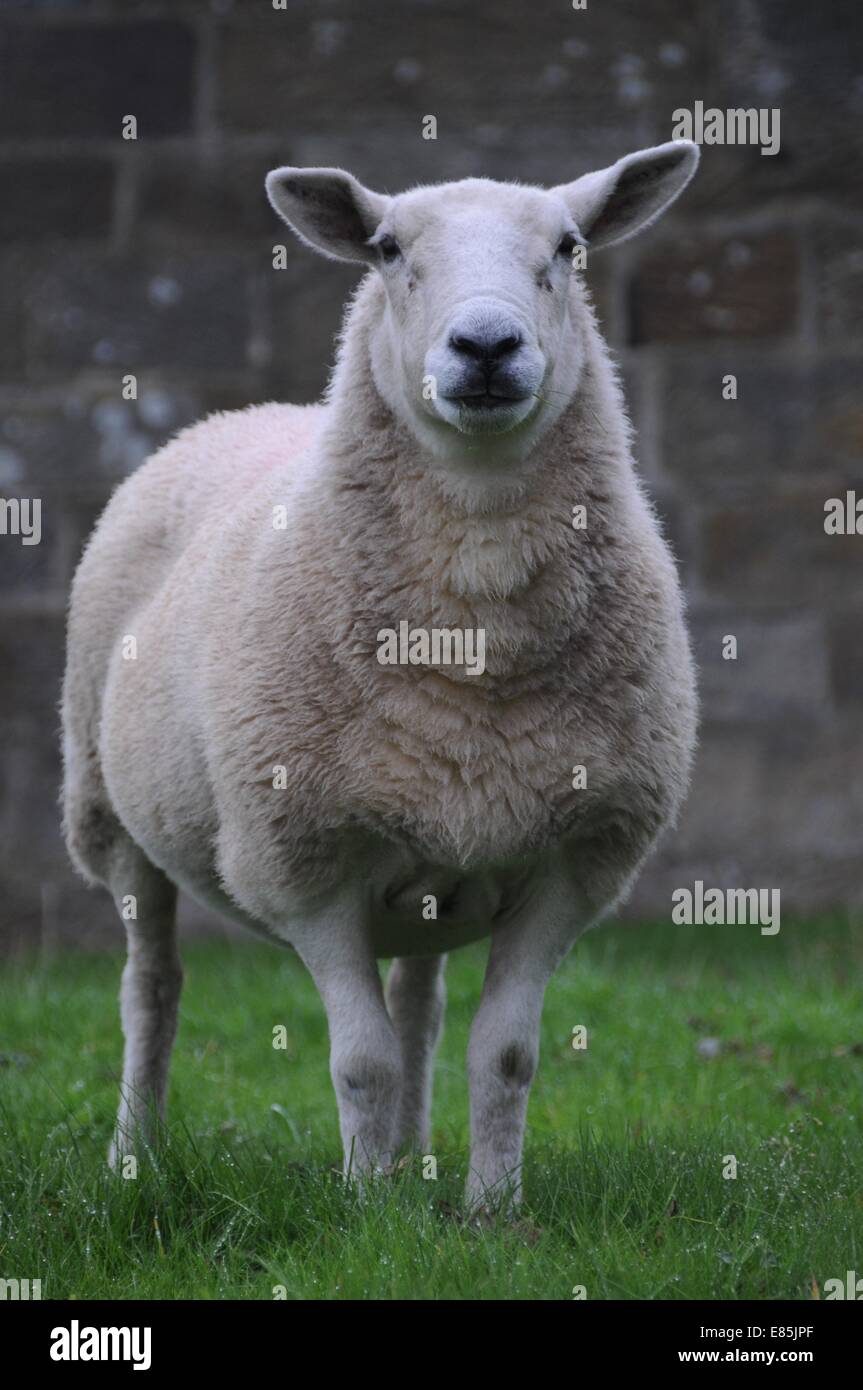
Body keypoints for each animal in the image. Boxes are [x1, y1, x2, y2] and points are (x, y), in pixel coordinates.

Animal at [61, 140, 699, 1211]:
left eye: (568, 248)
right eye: (389, 249)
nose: (485, 347)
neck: (473, 638)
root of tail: (249, 412)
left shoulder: (575, 858)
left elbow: (504, 1055)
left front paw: (489, 1212)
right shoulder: (304, 860)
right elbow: (357, 1061)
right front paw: (363, 1212)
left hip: (437, 857)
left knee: (418, 1007)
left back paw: (410, 1160)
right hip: (109, 815)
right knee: (150, 991)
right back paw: (131, 1157)